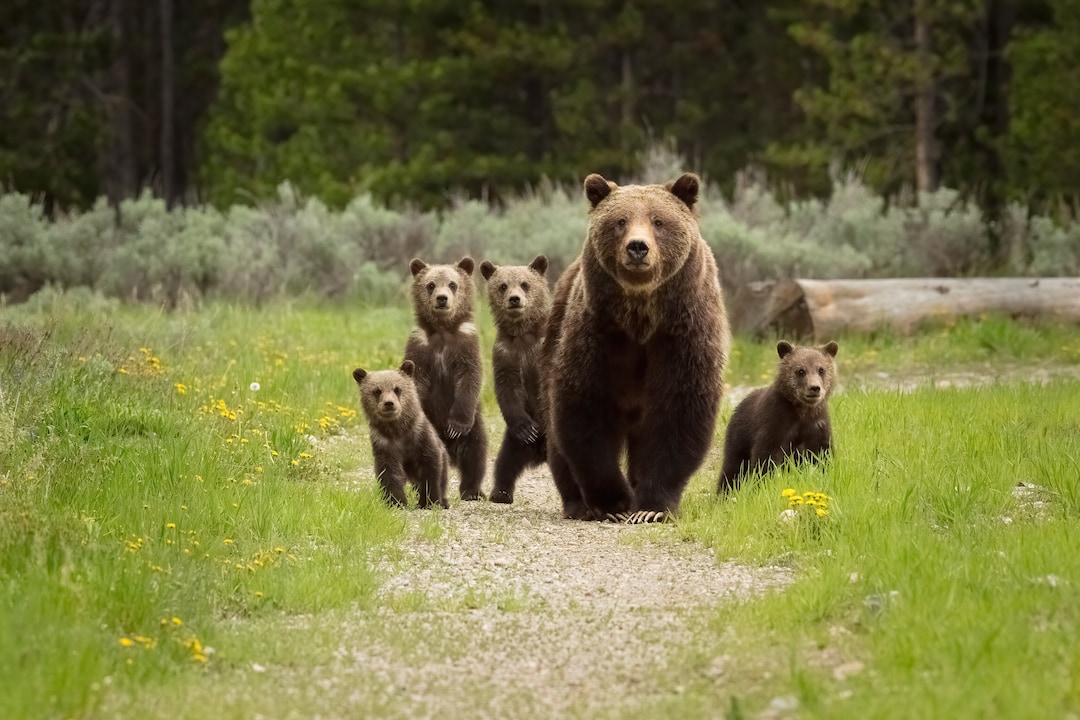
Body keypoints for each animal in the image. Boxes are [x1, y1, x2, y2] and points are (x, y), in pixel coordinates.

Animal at [352, 360, 449, 508]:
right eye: (377, 391)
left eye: (397, 389)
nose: (389, 403)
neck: (398, 430)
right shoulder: (384, 443)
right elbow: (390, 472)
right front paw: (396, 501)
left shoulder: (420, 437)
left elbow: (430, 468)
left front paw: (429, 501)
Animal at [405, 256, 489, 500]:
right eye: (431, 284)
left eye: (453, 284)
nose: (442, 299)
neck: (443, 330)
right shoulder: (420, 348)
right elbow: (416, 380)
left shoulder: (466, 345)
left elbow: (470, 377)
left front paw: (456, 425)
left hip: (476, 424)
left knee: (476, 452)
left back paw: (472, 490)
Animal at [479, 255, 552, 504]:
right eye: (503, 285)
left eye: (525, 284)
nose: (514, 299)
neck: (523, 334)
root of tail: (540, 453)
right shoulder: (505, 354)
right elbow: (507, 389)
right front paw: (527, 430)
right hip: (513, 440)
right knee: (506, 461)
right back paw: (500, 492)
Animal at [541, 172, 730, 523]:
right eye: (620, 221)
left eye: (658, 221)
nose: (638, 247)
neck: (641, 318)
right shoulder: (599, 332)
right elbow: (585, 406)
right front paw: (614, 503)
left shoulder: (683, 334)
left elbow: (678, 411)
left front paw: (651, 507)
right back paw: (577, 504)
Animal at [717, 340, 839, 492]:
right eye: (801, 371)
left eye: (821, 369)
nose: (814, 388)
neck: (802, 412)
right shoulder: (775, 423)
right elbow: (765, 459)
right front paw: (761, 484)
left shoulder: (817, 426)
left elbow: (823, 455)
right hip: (739, 438)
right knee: (733, 468)